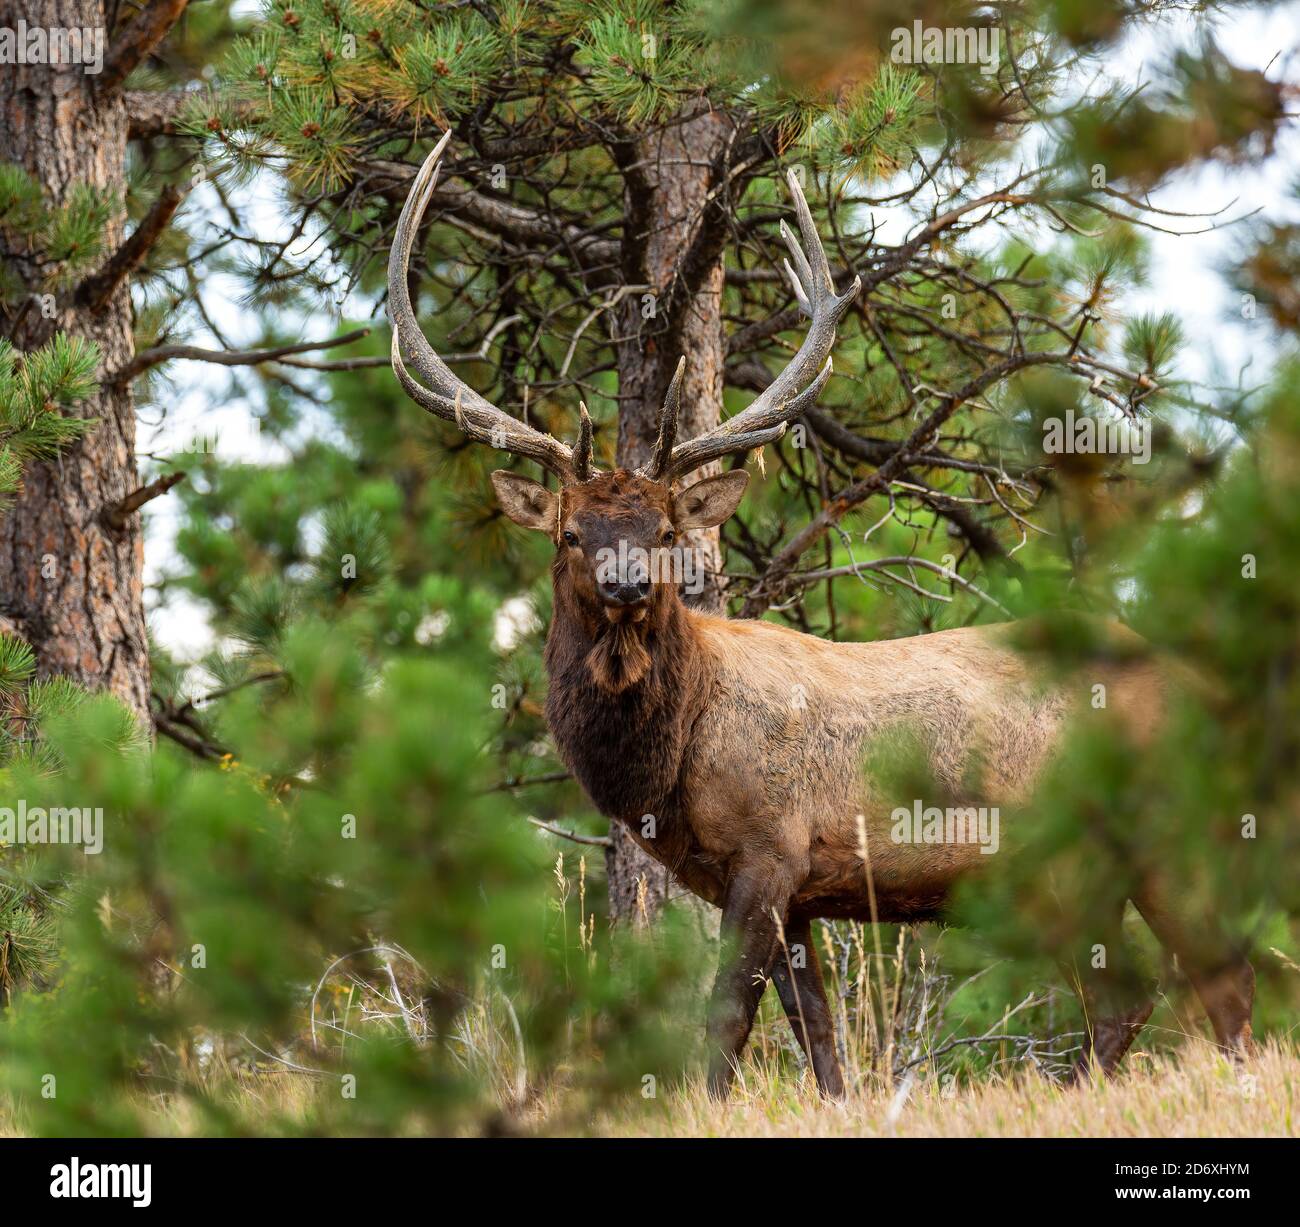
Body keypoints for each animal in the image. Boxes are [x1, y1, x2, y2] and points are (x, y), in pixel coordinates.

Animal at [388, 134, 1255, 1101]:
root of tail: (1212, 692)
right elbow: (817, 1034)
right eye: (572, 533)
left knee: (1199, 983)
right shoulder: (798, 886)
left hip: (1141, 838)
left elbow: (728, 1019)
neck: (666, 765)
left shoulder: (770, 847)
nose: (626, 585)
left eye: (663, 529)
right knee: (1161, 988)